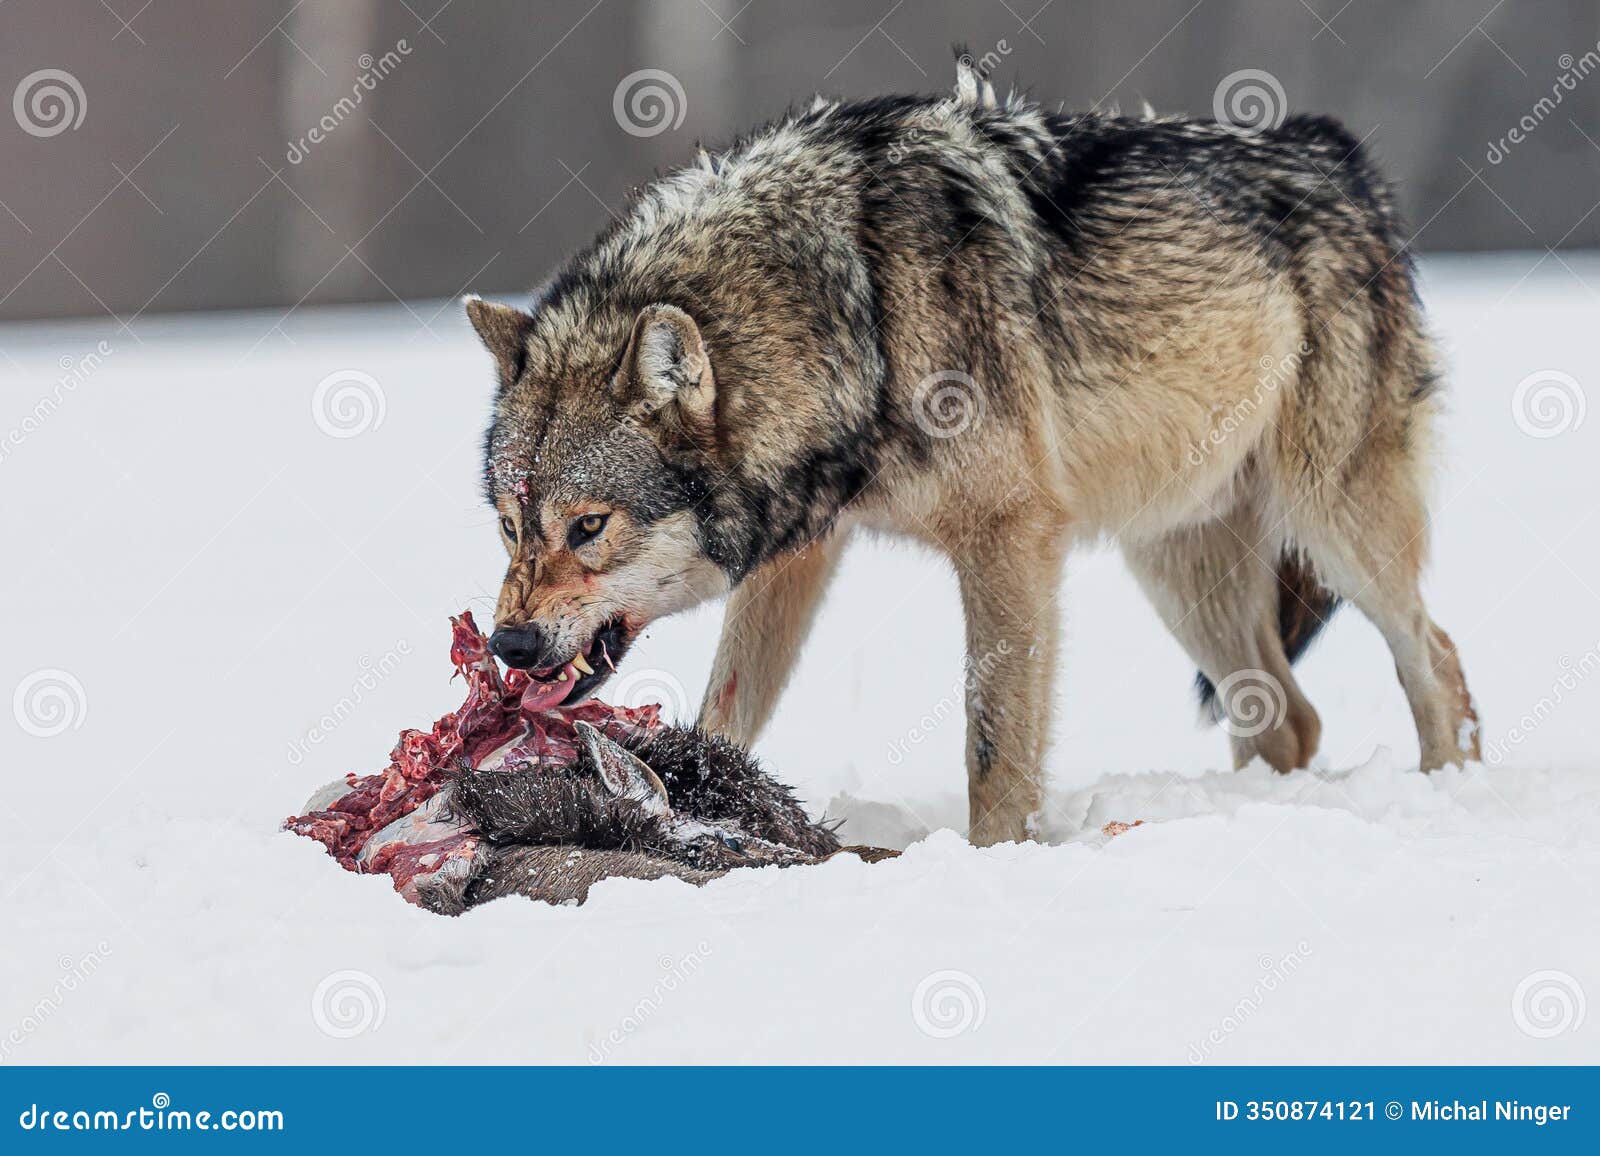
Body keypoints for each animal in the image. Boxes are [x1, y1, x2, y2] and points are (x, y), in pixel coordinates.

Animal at [465, 58, 1480, 846]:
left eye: (589, 526)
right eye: (510, 526)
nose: (508, 643)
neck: (855, 304)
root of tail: (1335, 153)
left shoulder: (1010, 539)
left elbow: (993, 743)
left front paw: (995, 858)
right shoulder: (800, 554)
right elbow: (728, 708)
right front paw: (704, 797)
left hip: (1331, 524)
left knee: (1437, 661)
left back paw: (1448, 794)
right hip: (1181, 570)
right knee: (1287, 719)